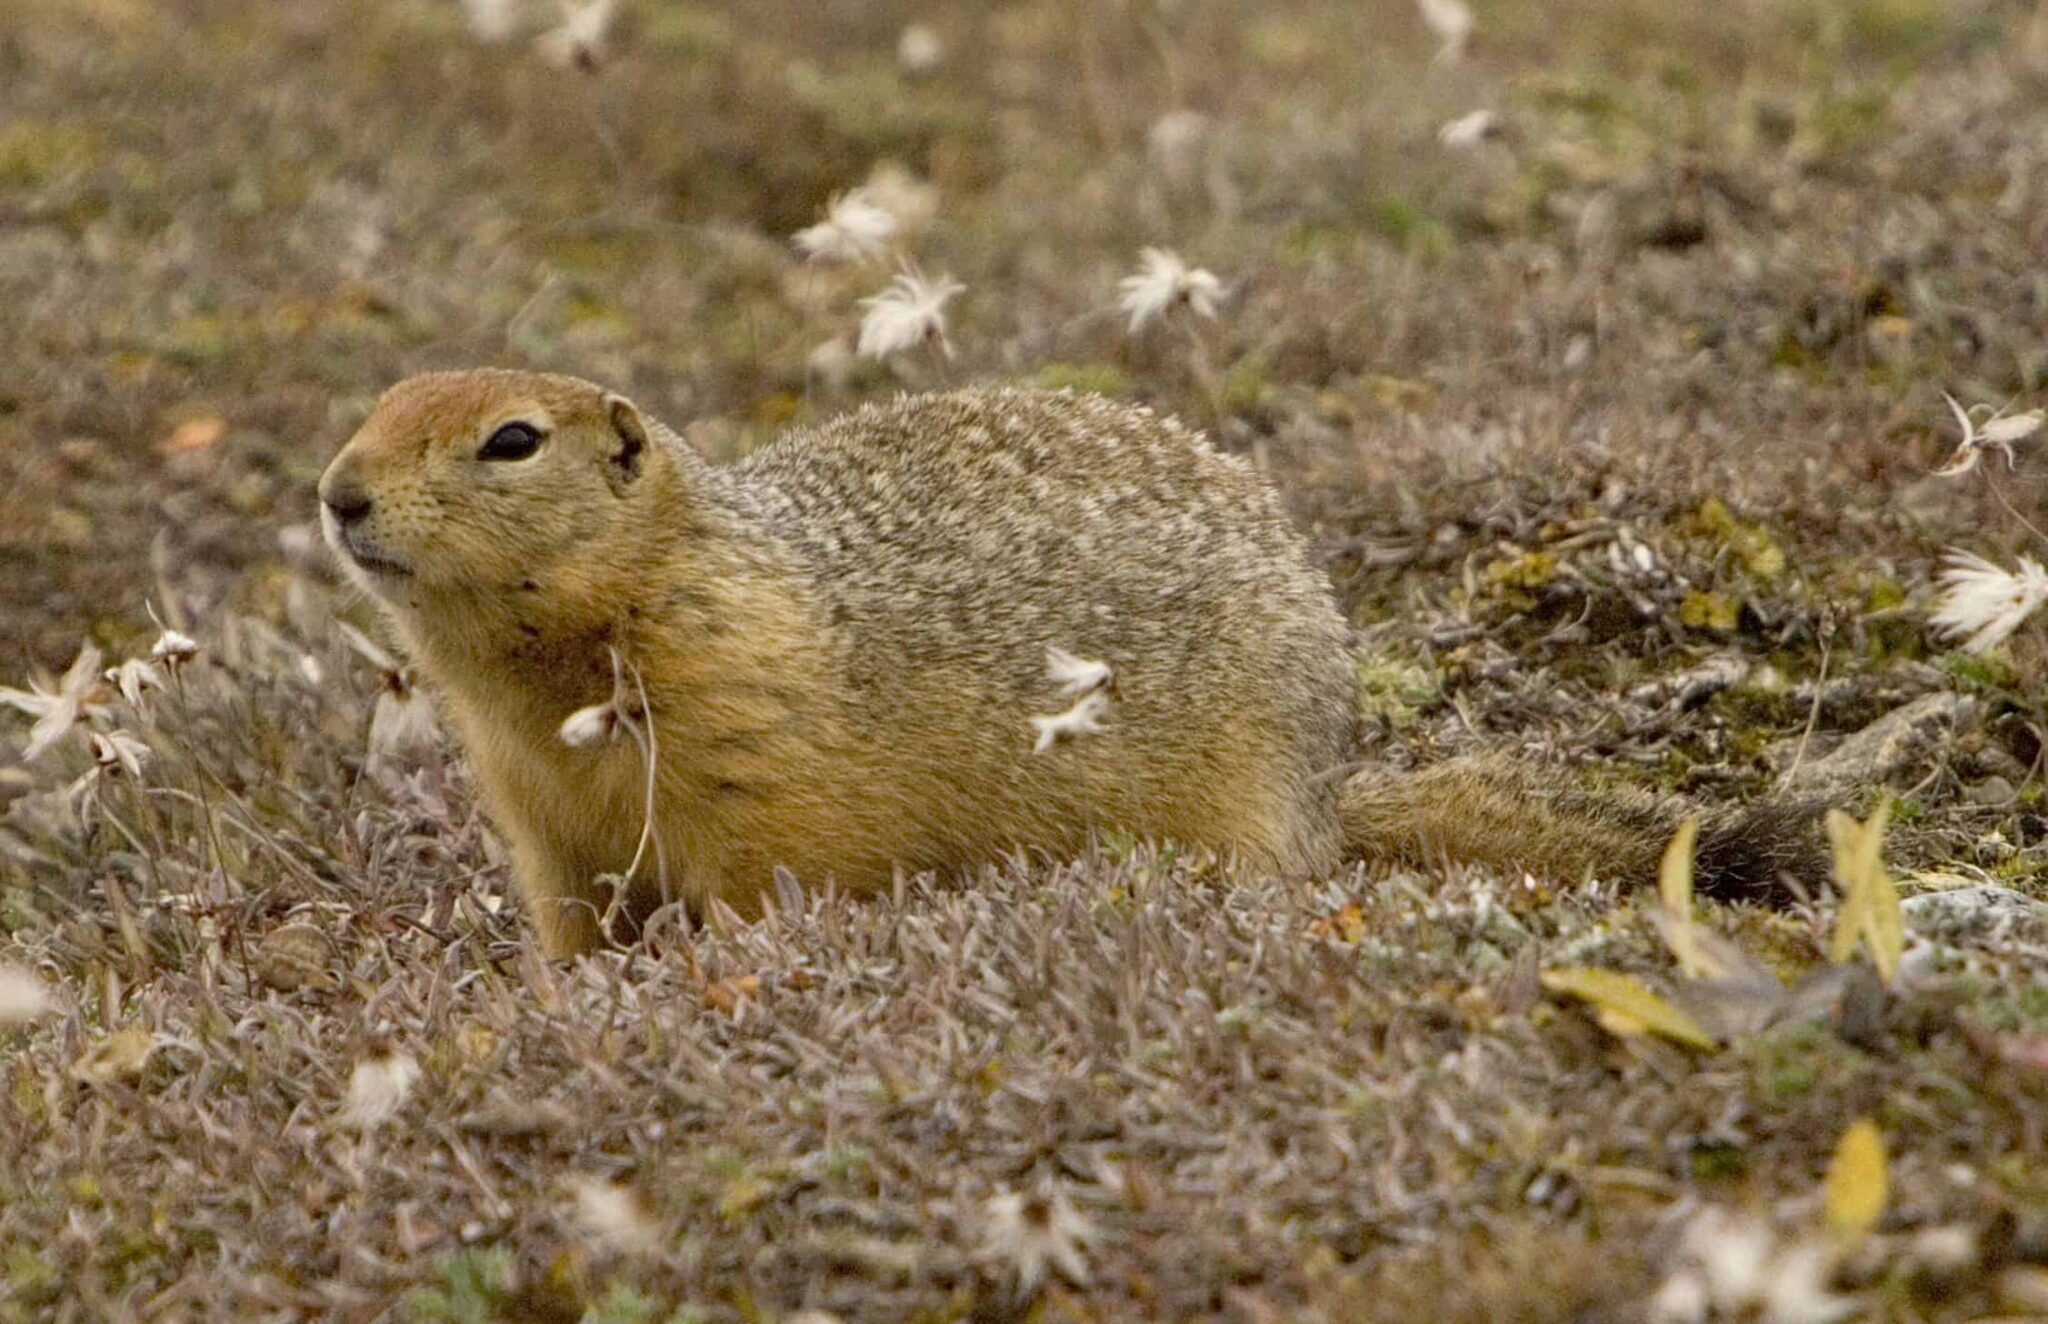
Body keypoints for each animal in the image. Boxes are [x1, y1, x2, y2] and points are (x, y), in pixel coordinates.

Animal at [319, 370, 1816, 956]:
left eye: (512, 440)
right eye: (373, 407)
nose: (335, 492)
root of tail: (1327, 799)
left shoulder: (749, 762)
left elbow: (766, 885)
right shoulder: (538, 815)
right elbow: (571, 918)